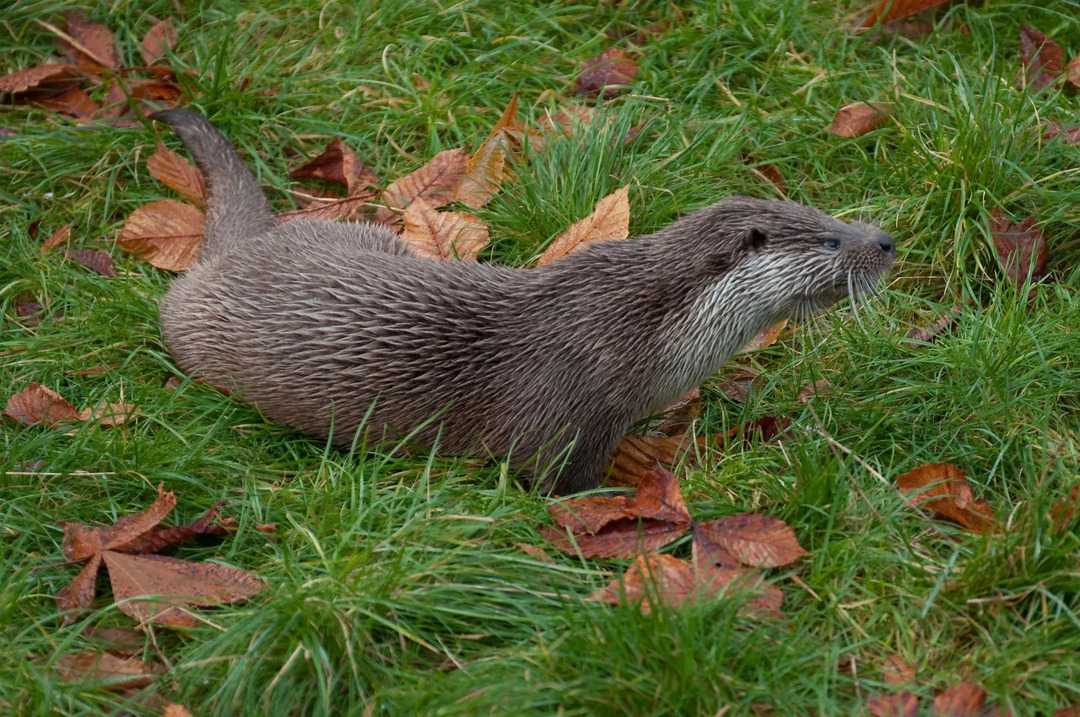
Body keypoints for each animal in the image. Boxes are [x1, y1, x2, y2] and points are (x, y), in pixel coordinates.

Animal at [152, 110, 894, 492]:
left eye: (829, 212)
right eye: (830, 239)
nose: (884, 240)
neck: (640, 332)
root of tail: (235, 251)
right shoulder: (565, 418)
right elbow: (558, 484)